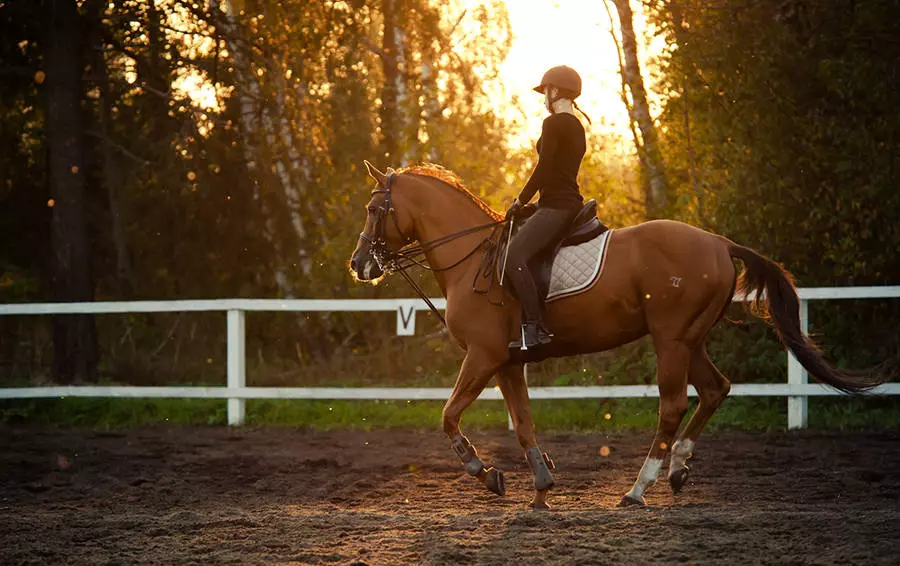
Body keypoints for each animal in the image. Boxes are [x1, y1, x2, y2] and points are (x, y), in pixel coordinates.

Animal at [348, 161, 884, 510]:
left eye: (374, 209)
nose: (358, 265)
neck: (473, 256)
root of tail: (719, 242)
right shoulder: (507, 363)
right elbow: (523, 424)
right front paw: (541, 486)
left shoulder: (482, 357)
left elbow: (448, 417)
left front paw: (487, 474)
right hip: (689, 340)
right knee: (716, 390)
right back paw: (678, 470)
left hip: (670, 341)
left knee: (673, 405)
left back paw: (639, 488)